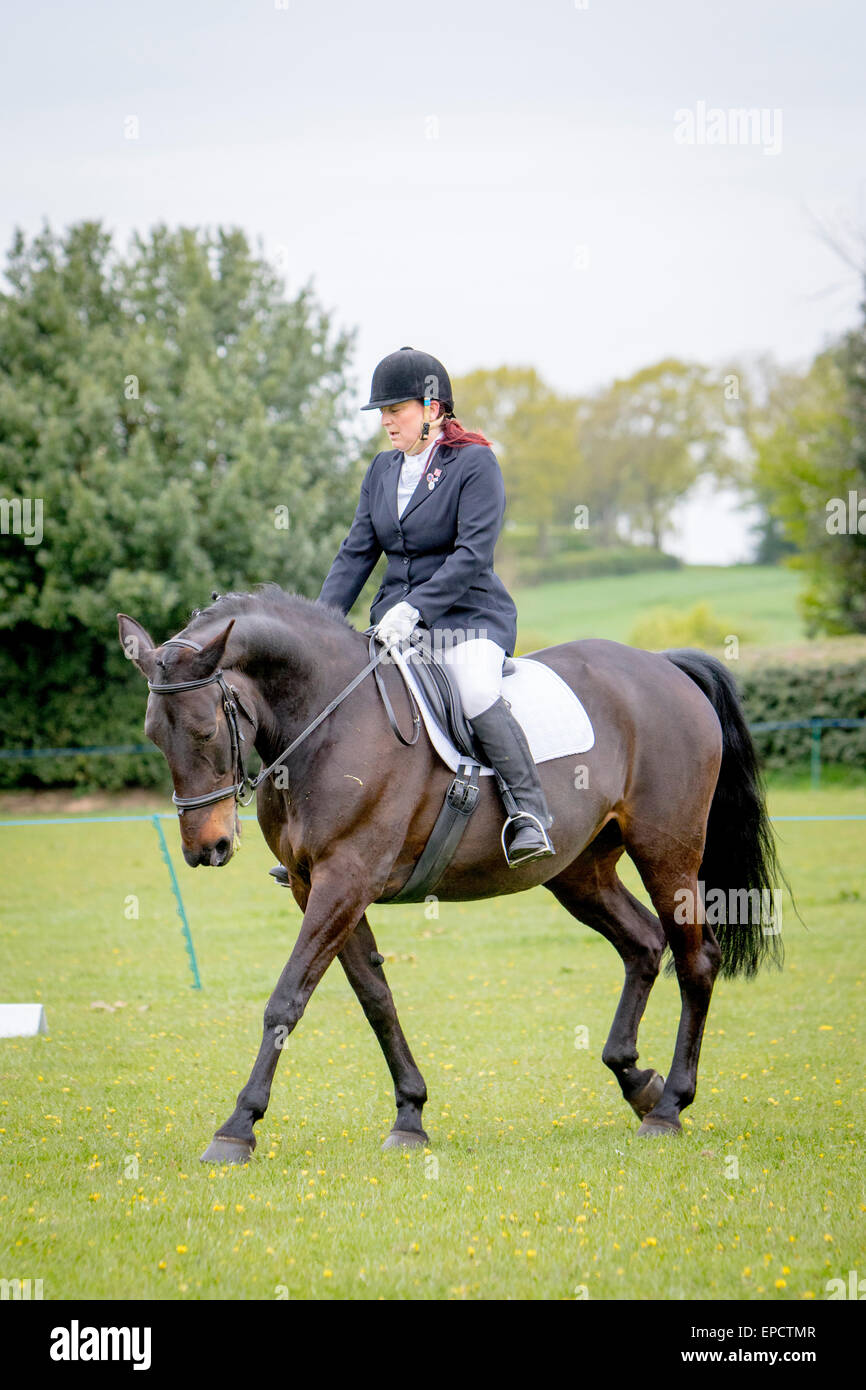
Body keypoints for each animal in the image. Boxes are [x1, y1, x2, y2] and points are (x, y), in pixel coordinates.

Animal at [117, 586, 783, 1164]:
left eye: (205, 730)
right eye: (153, 734)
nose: (207, 847)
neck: (326, 721)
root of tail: (664, 667)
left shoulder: (345, 879)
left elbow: (286, 1000)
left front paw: (237, 1128)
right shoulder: (318, 887)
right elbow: (375, 998)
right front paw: (410, 1117)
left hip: (667, 851)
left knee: (695, 960)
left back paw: (669, 1107)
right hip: (579, 870)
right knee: (643, 943)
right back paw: (638, 1080)